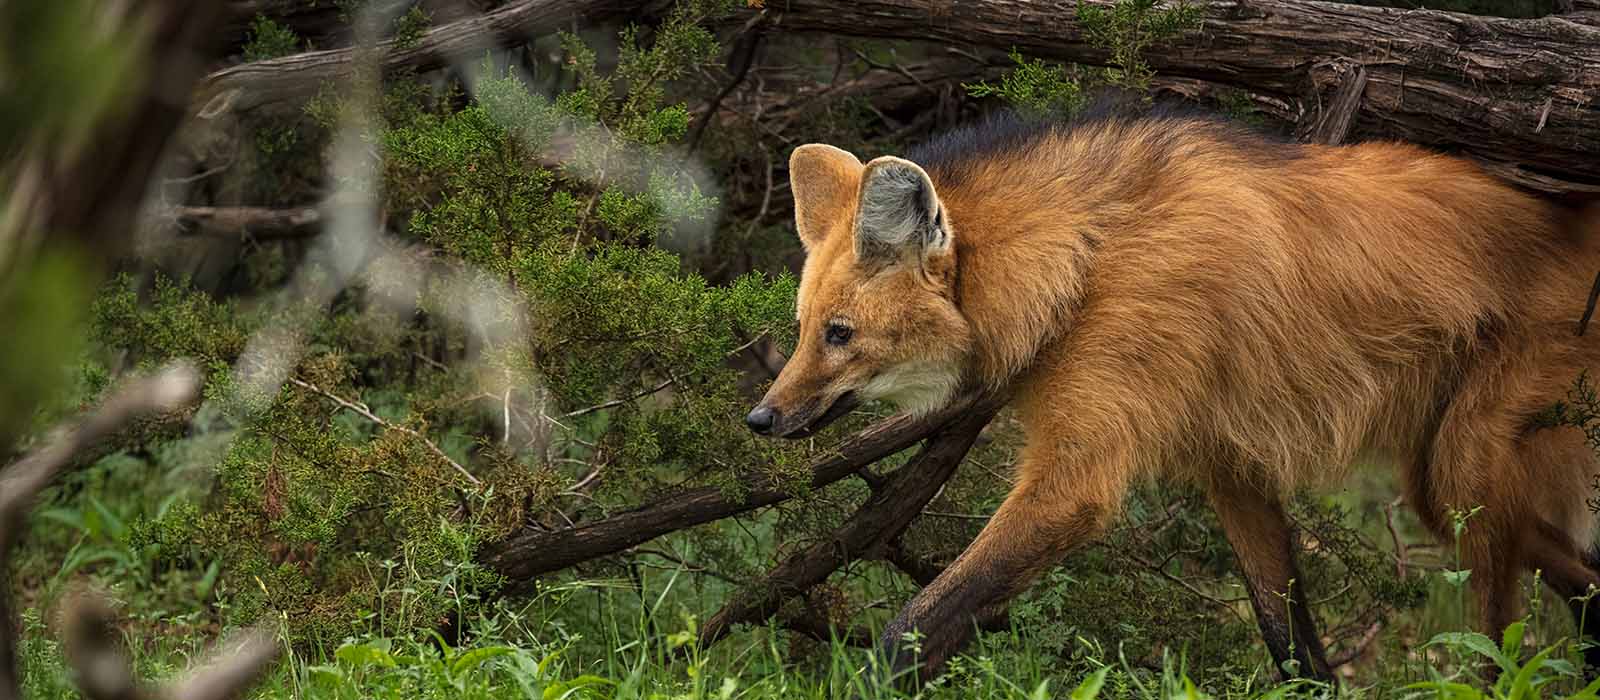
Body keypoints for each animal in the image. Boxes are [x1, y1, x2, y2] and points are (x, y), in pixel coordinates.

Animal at [743, 99, 1600, 684]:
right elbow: (1291, 643)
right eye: (804, 326)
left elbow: (909, 630)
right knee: (1584, 578)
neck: (1084, 260)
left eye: (841, 334)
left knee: (1500, 646)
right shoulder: (1231, 464)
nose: (761, 418)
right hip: (1439, 477)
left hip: (1468, 472)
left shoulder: (1077, 484)